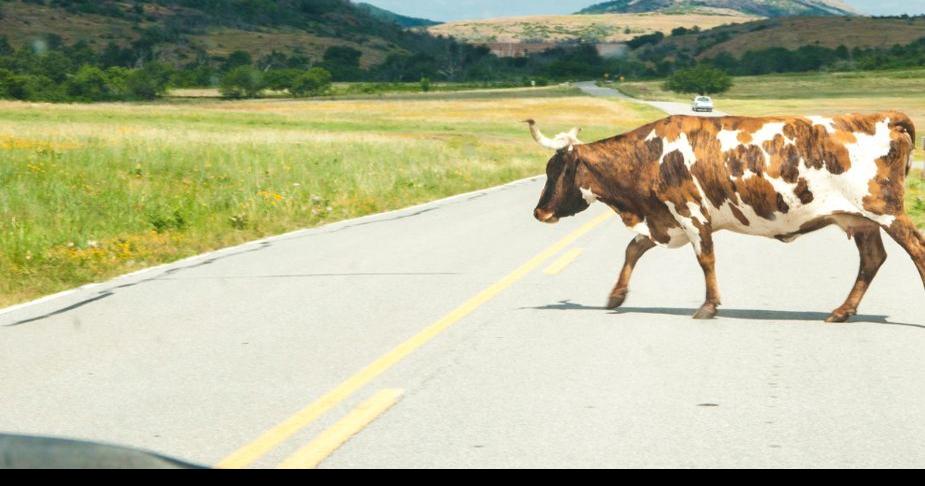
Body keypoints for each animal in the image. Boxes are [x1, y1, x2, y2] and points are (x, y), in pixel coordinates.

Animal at [528, 112, 920, 322]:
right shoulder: (664, 221)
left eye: (555, 170)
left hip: (885, 211)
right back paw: (842, 311)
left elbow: (705, 258)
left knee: (917, 249)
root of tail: (886, 117)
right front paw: (616, 296)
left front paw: (708, 305)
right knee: (872, 259)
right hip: (860, 220)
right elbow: (633, 248)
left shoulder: (690, 214)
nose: (539, 211)